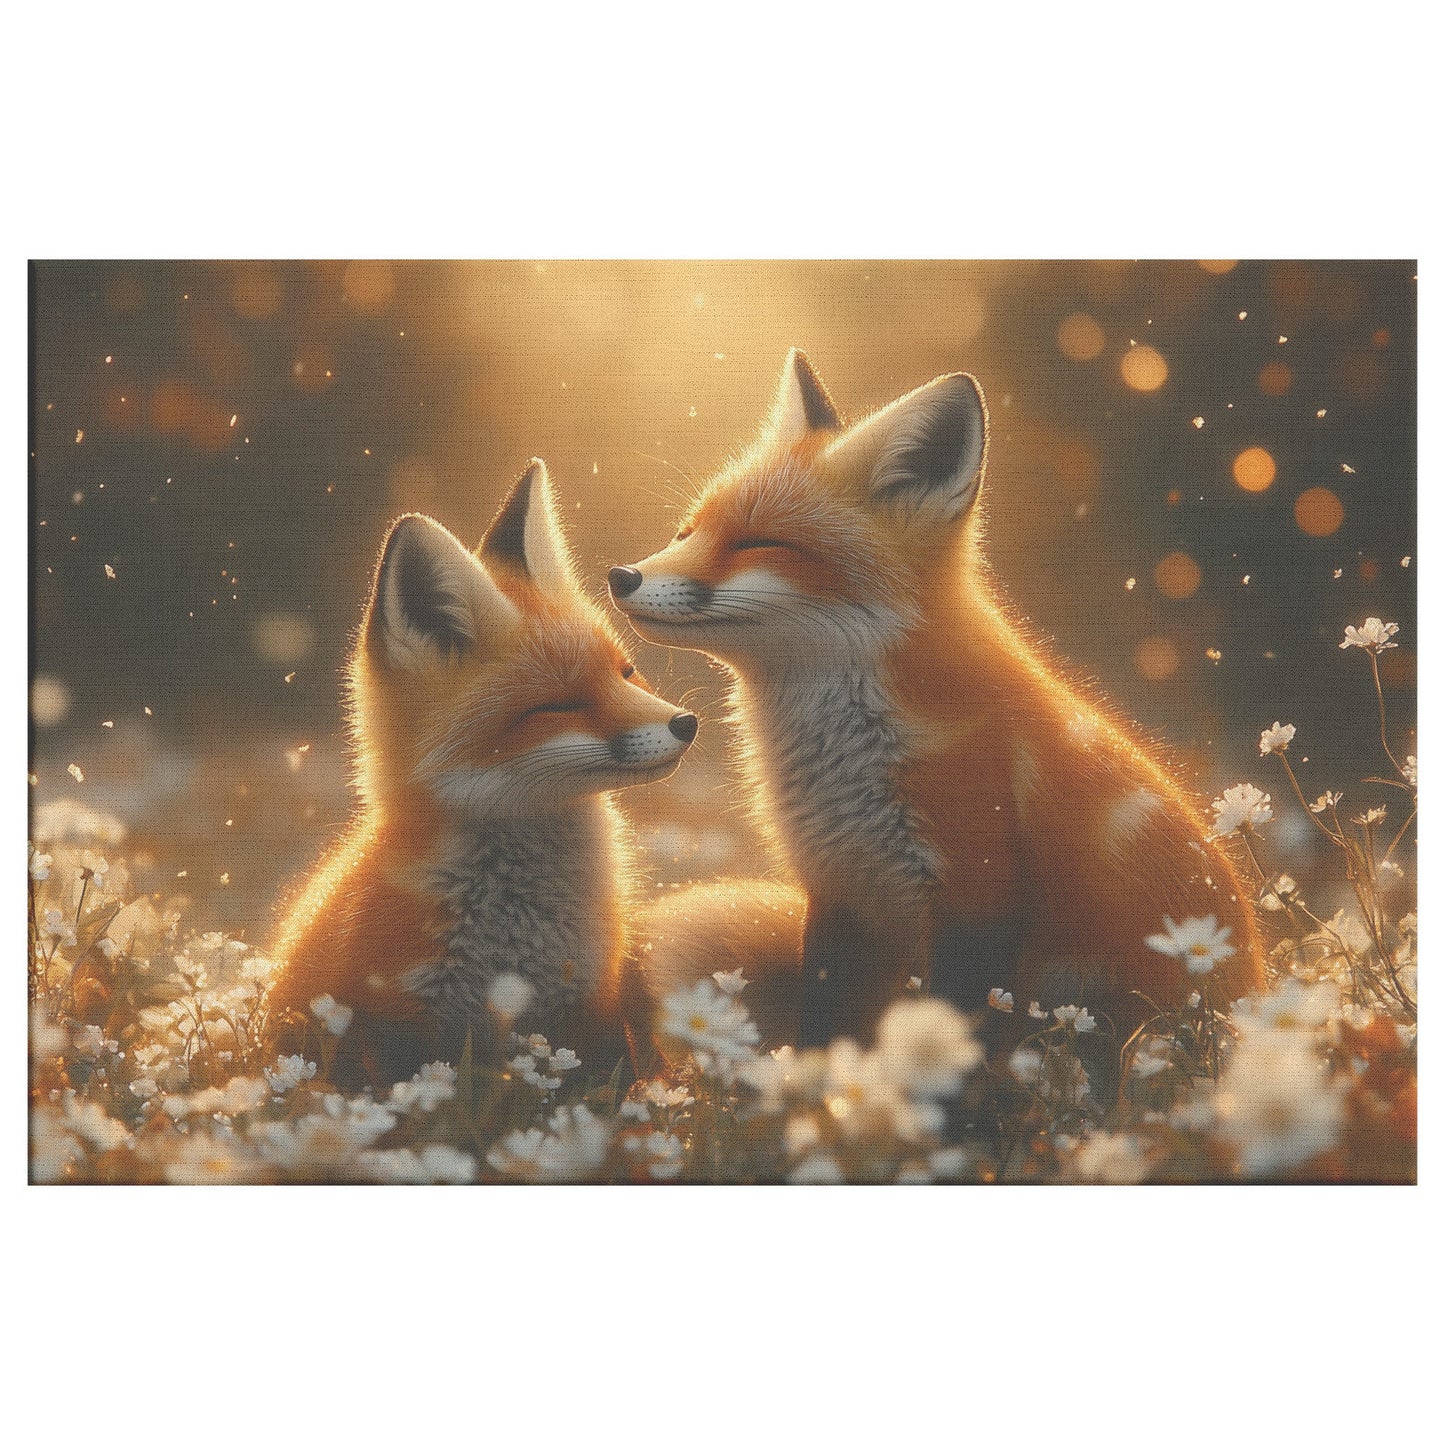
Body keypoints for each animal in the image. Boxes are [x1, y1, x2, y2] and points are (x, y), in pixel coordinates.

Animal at [268, 459, 700, 1083]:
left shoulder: (593, 1008)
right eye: (557, 706)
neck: (518, 928)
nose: (687, 723)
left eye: (625, 673)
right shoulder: (394, 1022)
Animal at [608, 349, 1264, 1050]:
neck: (848, 759)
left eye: (762, 543)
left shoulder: (976, 897)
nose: (621, 576)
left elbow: (959, 1046)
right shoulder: (840, 892)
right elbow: (823, 1025)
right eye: (688, 530)